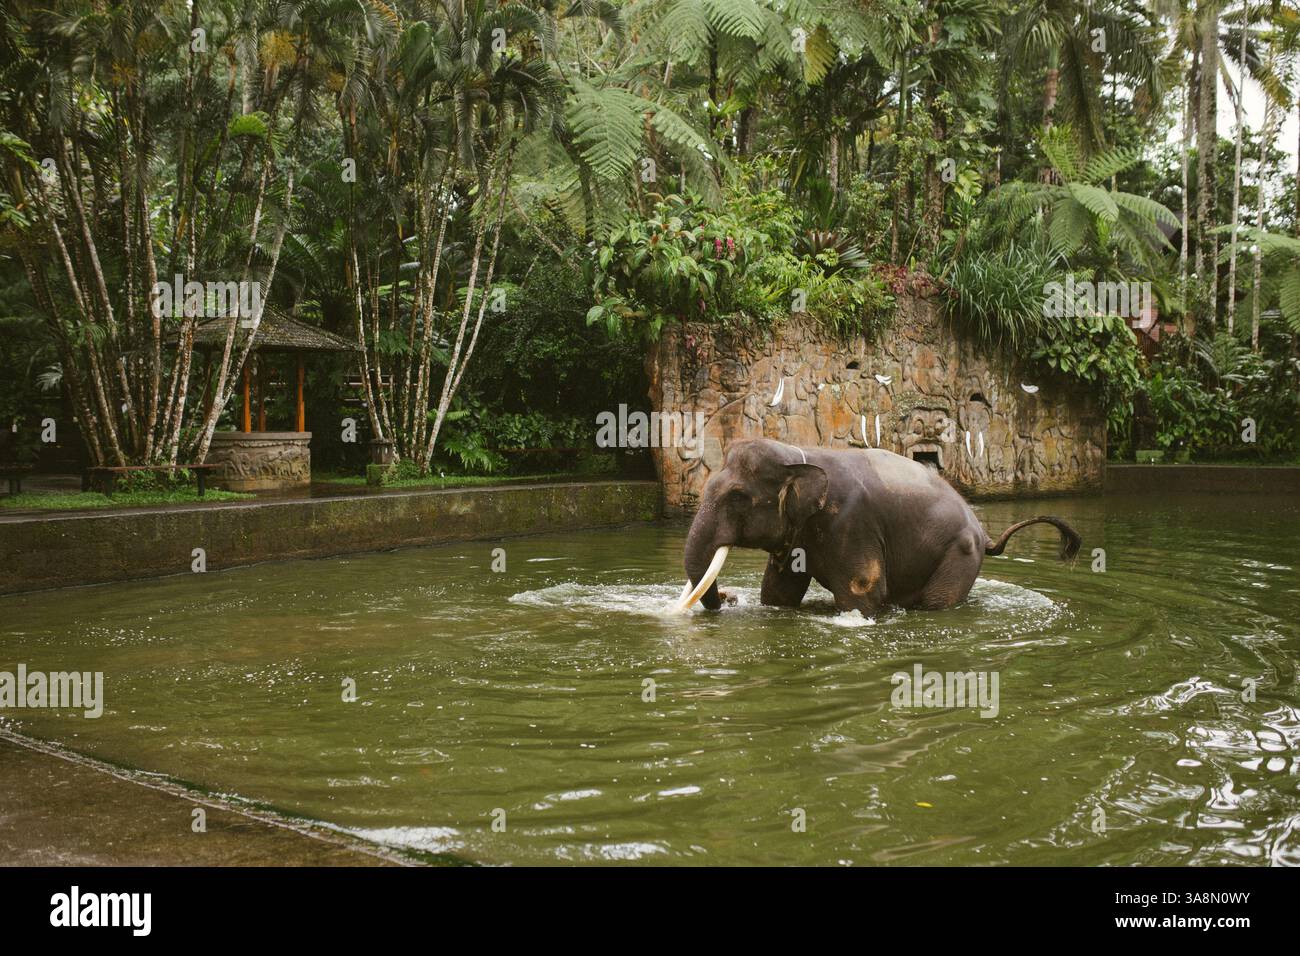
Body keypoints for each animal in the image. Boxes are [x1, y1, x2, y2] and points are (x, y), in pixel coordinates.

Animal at [672, 438, 1081, 614]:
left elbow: (863, 590)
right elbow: (779, 592)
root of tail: (984, 533)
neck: (798, 454)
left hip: (960, 554)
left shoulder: (851, 522)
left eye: (737, 496)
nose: (727, 598)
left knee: (937, 602)